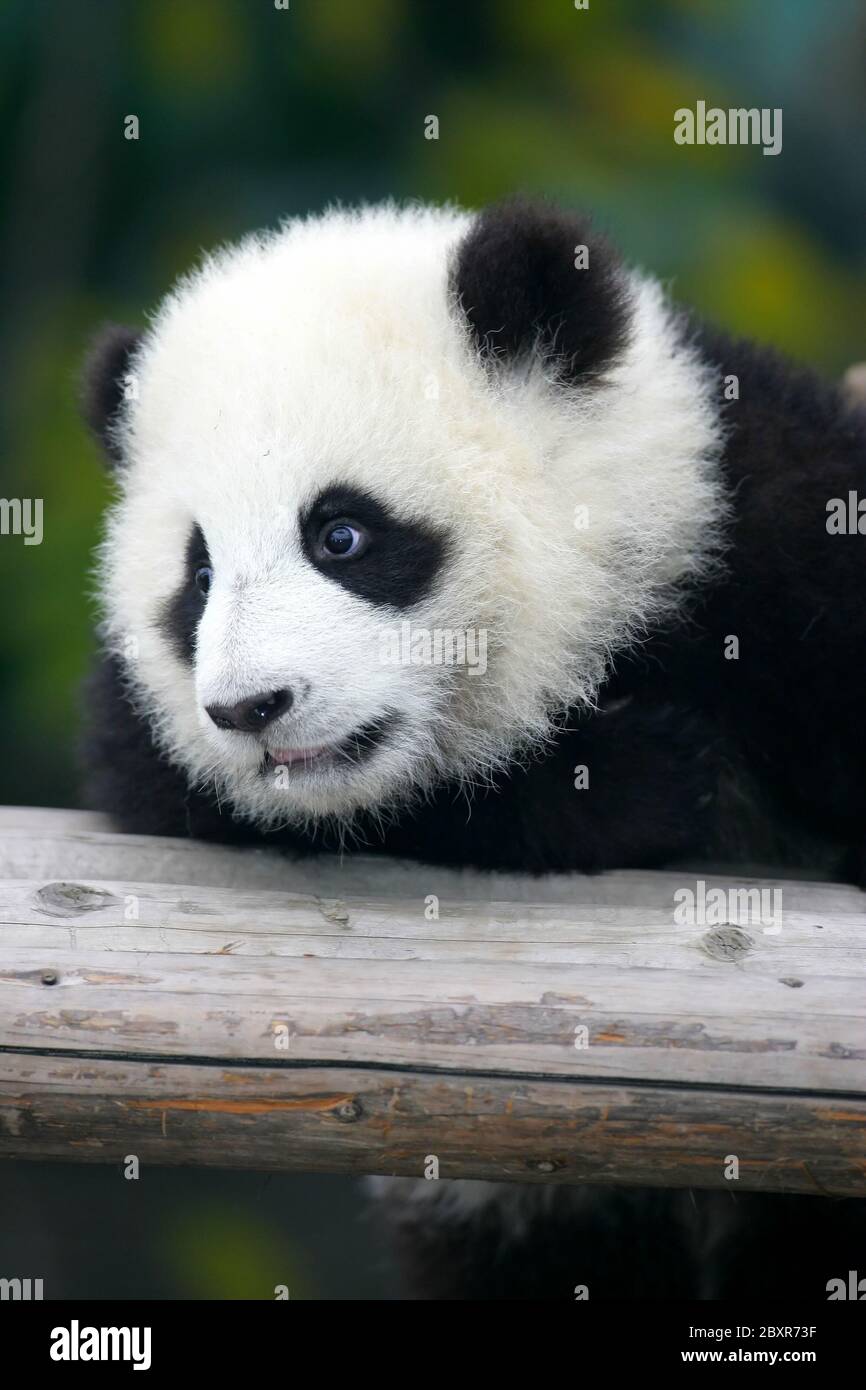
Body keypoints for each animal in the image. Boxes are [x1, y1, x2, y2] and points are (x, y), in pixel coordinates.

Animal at [81, 199, 866, 1299]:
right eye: (197, 577)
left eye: (341, 535)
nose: (250, 708)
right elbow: (175, 786)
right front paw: (641, 779)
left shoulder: (769, 535)